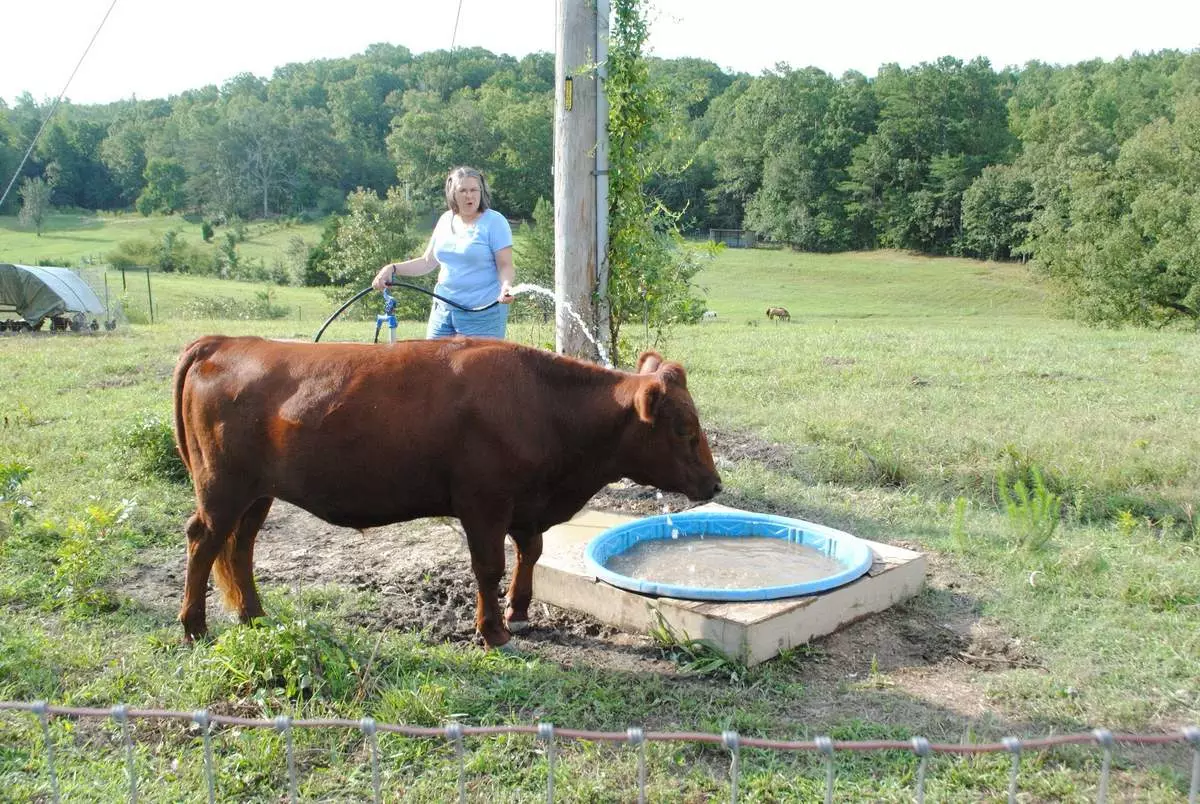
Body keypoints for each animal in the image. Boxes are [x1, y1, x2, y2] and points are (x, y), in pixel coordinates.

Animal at [174, 333, 720, 648]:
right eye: (683, 430)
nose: (714, 483)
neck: (544, 404)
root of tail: (223, 342)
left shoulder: (525, 505)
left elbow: (531, 553)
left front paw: (520, 611)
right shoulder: (484, 503)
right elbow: (489, 566)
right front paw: (493, 630)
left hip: (256, 494)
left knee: (239, 548)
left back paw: (253, 616)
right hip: (223, 489)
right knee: (204, 540)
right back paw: (194, 626)